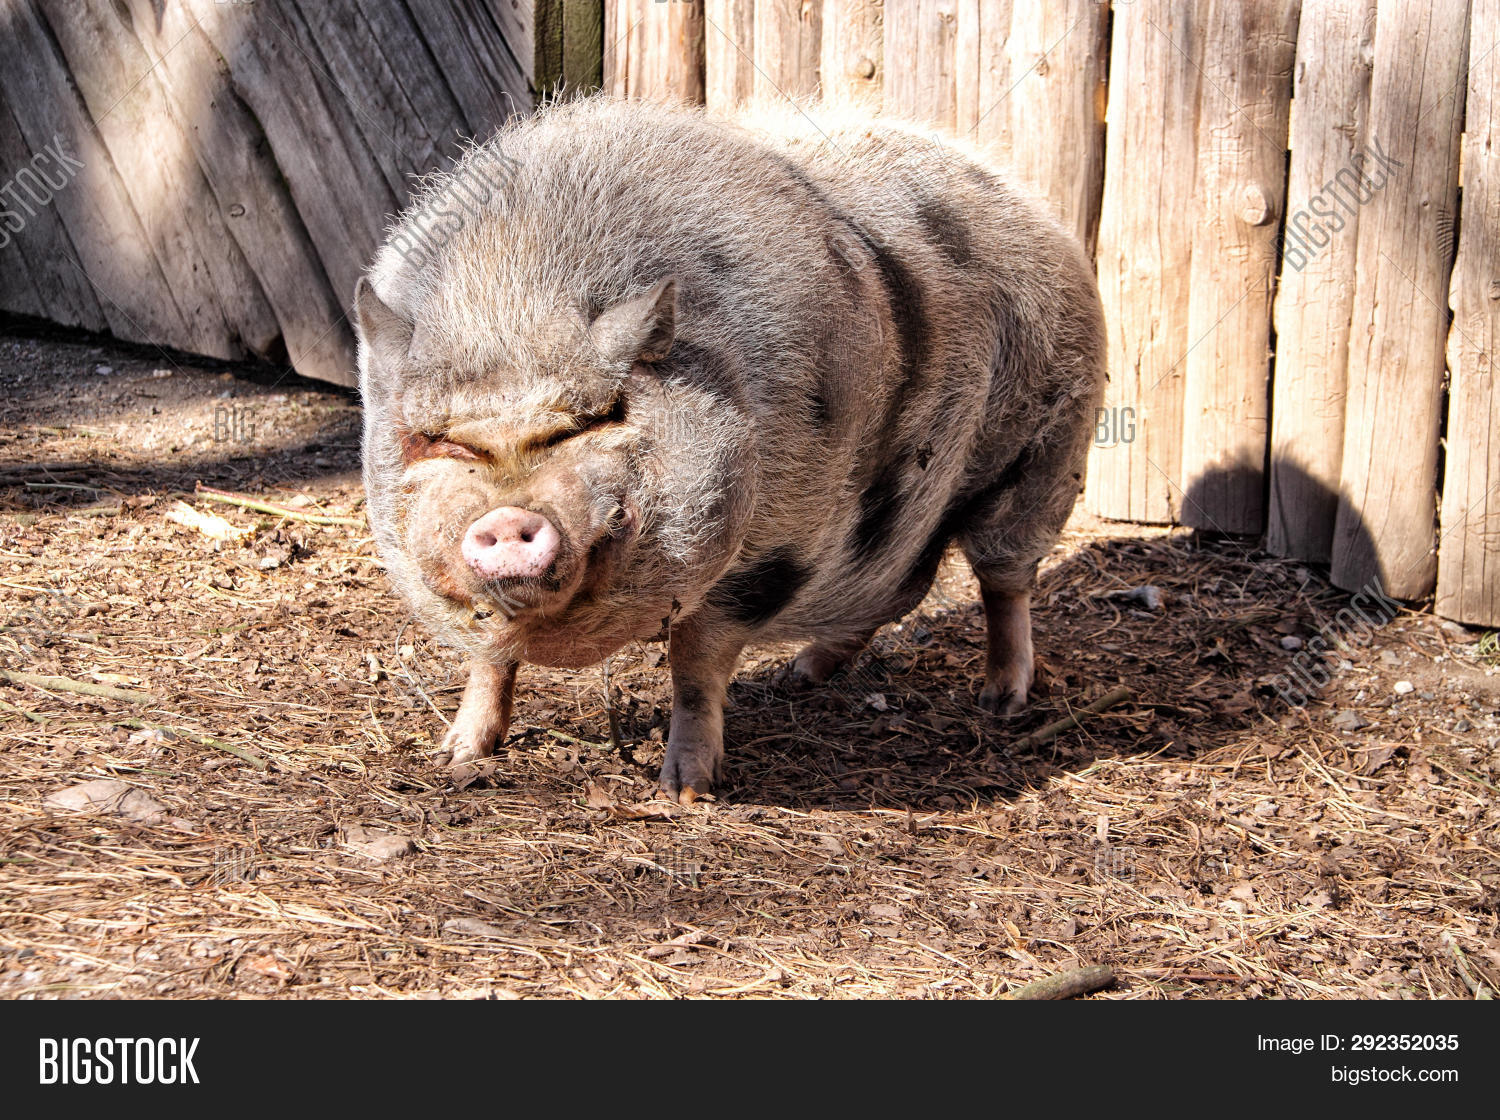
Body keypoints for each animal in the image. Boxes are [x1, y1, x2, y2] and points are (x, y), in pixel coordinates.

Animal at [354, 96, 1104, 802]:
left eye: (597, 419)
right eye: (439, 440)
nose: (509, 517)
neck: (514, 293)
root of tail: (1035, 209)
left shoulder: (772, 544)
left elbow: (696, 665)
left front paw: (685, 790)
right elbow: (488, 657)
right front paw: (455, 757)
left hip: (1044, 449)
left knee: (1005, 579)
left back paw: (1001, 702)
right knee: (899, 591)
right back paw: (804, 674)